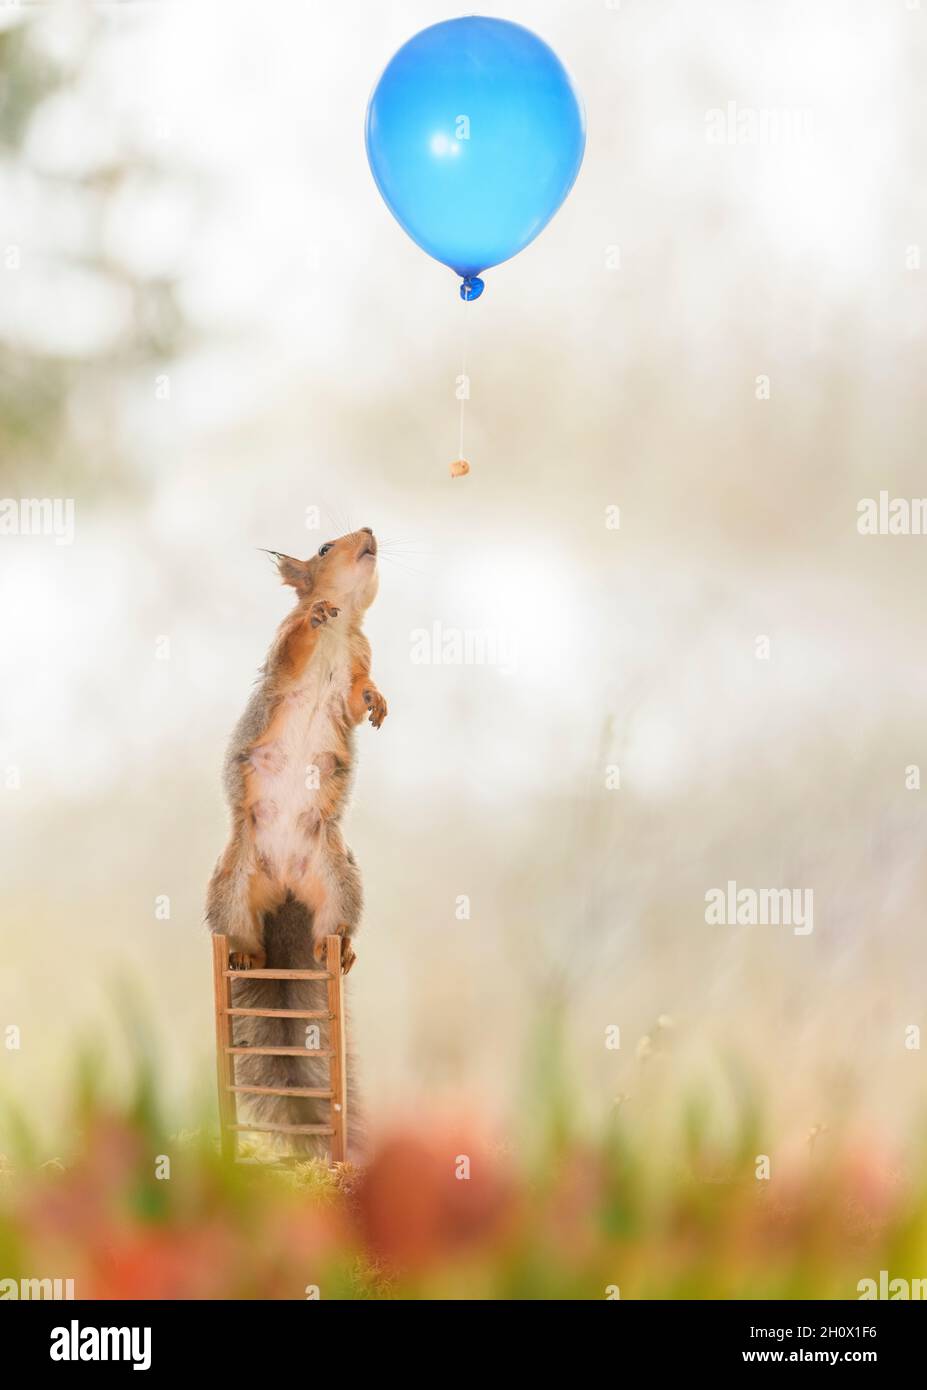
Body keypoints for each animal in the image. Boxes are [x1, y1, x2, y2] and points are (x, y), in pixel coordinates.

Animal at [205, 527, 386, 1157]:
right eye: (325, 547)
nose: (370, 532)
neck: (343, 623)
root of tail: (285, 890)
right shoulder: (284, 649)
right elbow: (293, 646)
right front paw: (314, 612)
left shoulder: (360, 656)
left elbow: (355, 699)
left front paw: (378, 701)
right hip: (232, 886)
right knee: (244, 941)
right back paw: (245, 955)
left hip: (337, 877)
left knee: (331, 929)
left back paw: (342, 947)